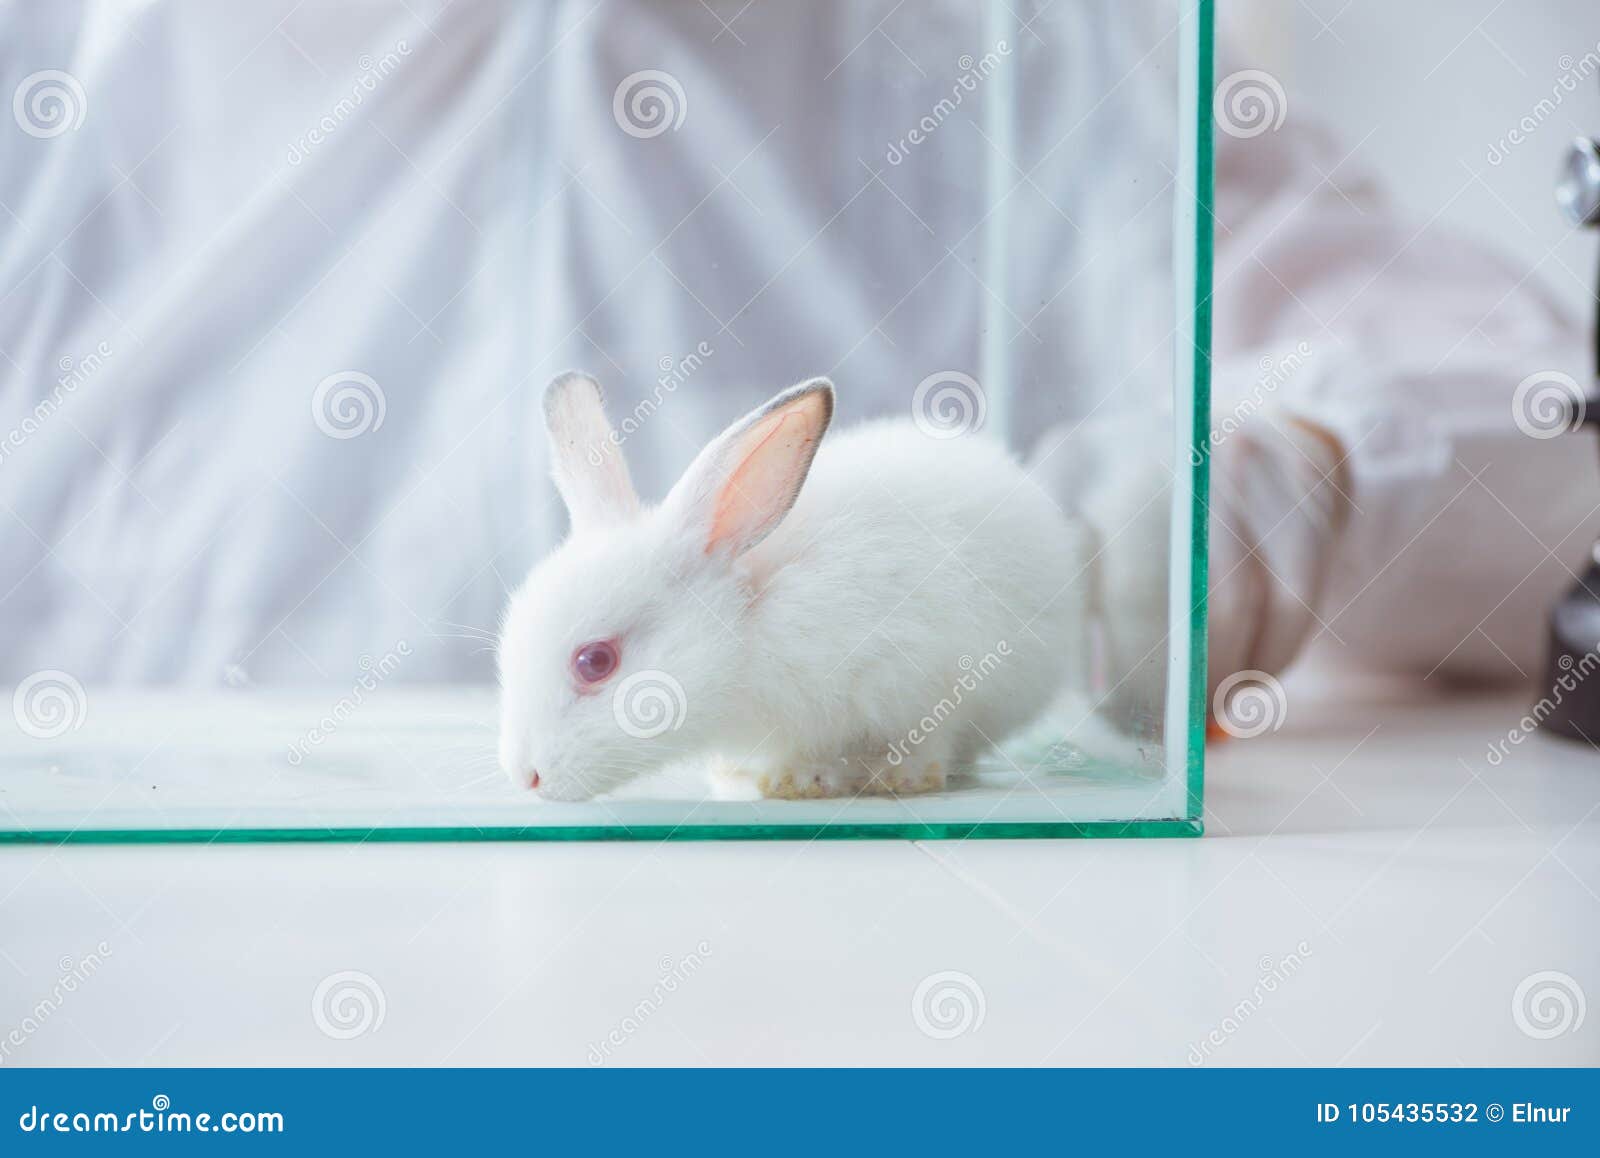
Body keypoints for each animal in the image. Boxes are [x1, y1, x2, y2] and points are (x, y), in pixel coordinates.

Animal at [497, 372, 1085, 802]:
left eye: (595, 661)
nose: (525, 777)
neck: (747, 629)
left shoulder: (926, 675)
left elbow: (925, 739)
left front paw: (852, 780)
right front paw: (749, 775)